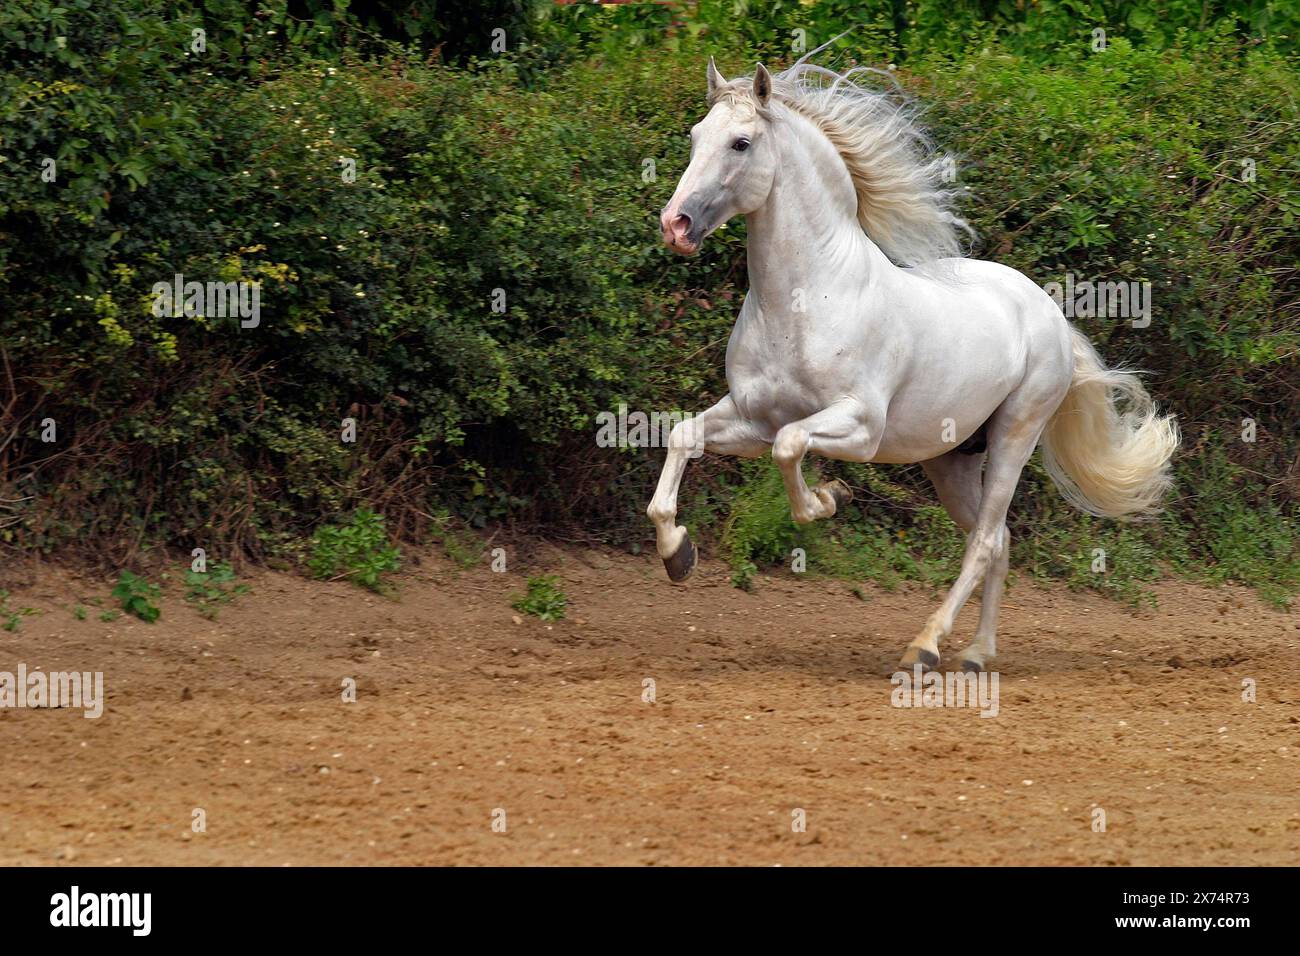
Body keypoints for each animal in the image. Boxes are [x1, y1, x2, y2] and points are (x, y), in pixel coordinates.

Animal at [647, 54, 1179, 673]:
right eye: (694, 137)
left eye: (741, 142)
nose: (676, 225)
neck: (805, 301)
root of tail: (1047, 312)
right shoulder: (753, 418)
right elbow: (684, 436)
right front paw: (678, 554)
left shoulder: (859, 427)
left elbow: (791, 449)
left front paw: (829, 499)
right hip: (951, 460)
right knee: (998, 542)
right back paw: (975, 653)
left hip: (1015, 436)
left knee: (984, 543)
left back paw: (924, 648)